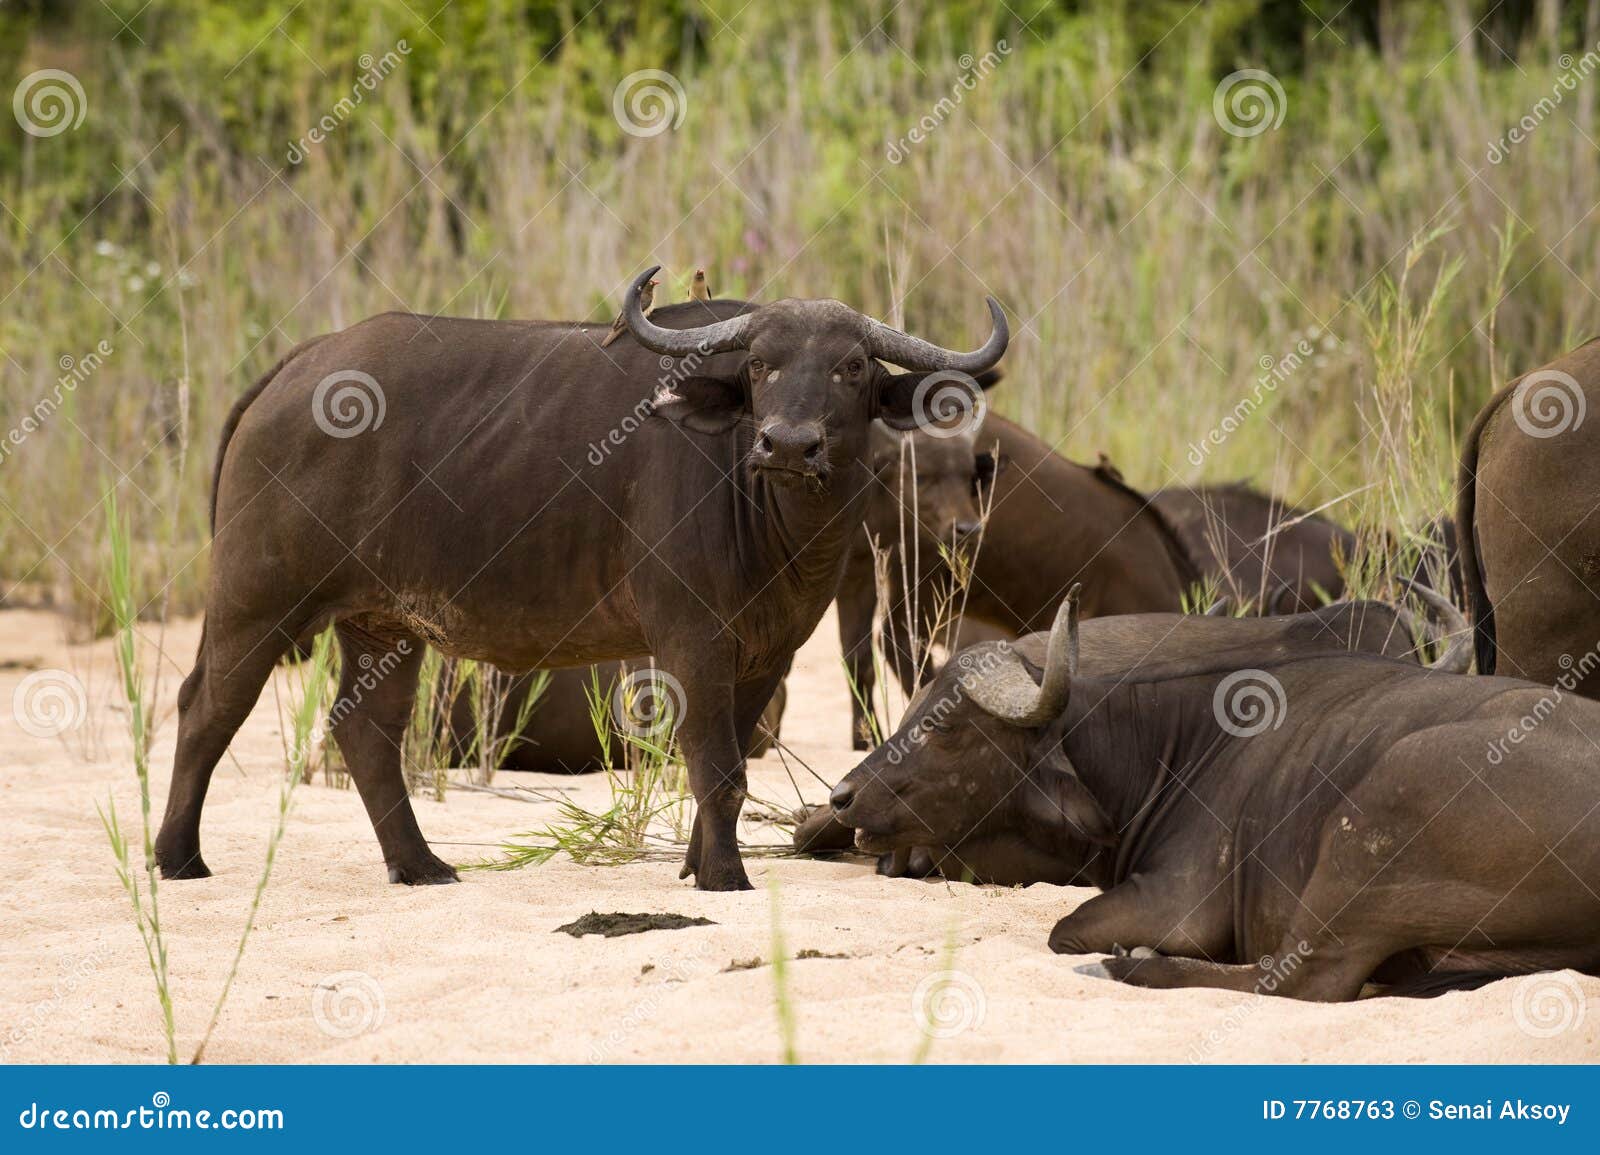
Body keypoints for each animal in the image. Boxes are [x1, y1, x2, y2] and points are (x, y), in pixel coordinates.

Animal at [153, 268, 1006, 891]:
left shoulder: (771, 651)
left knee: (366, 731)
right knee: (207, 706)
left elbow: (725, 767)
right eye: (762, 365)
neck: (773, 520)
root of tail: (300, 365)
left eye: (851, 366)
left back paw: (420, 864)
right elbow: (716, 767)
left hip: (384, 625)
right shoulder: (690, 638)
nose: (788, 444)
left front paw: (699, 864)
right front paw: (725, 878)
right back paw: (178, 856)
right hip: (256, 598)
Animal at [820, 589, 1600, 1000]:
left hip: (1374, 826)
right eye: (917, 705)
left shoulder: (1178, 902)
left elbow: (1063, 928)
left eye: (945, 724)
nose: (843, 795)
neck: (1172, 744)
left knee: (1301, 977)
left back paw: (1133, 963)